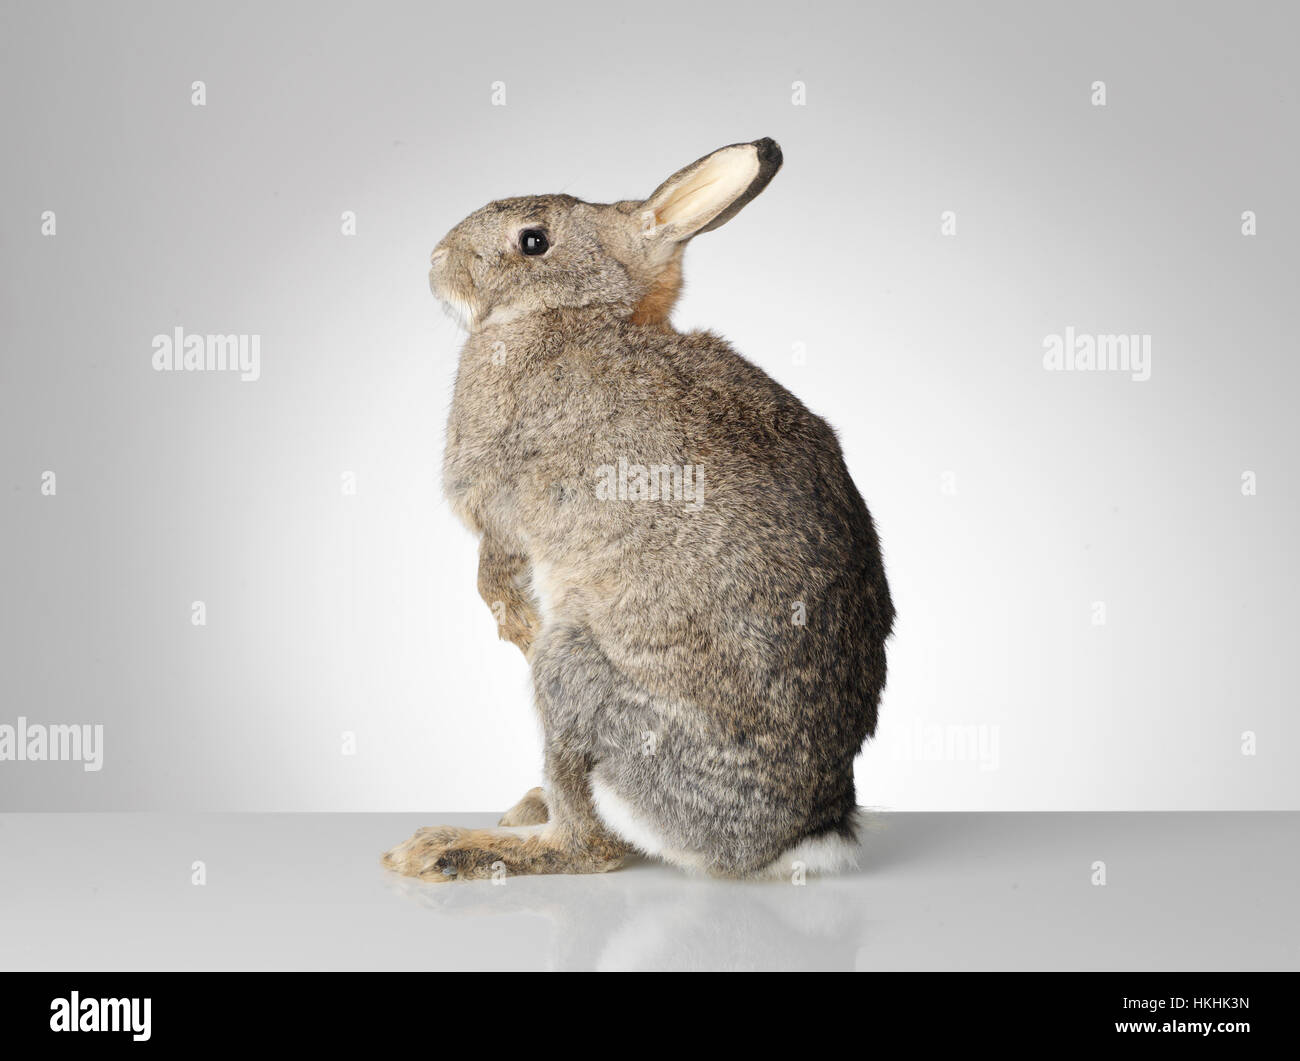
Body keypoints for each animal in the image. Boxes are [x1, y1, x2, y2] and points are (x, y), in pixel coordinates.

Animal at [383, 138, 895, 882]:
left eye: (533, 240)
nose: (436, 259)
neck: (576, 313)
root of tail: (793, 838)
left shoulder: (499, 502)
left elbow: (495, 569)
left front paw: (514, 624)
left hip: (575, 676)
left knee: (588, 845)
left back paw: (456, 847)